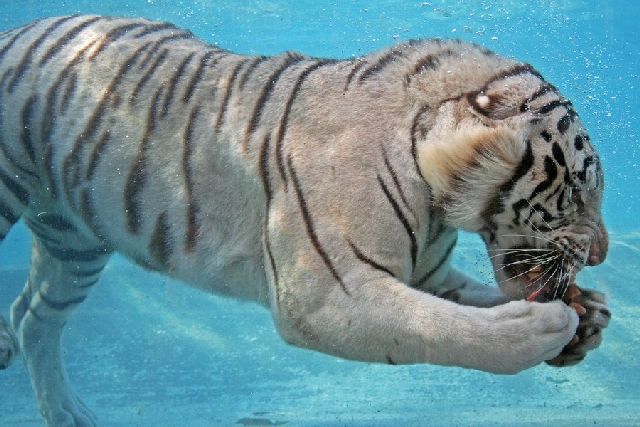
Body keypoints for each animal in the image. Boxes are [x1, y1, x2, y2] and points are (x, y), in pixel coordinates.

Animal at [0, 15, 611, 426]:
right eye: (577, 194)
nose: (601, 253)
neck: (436, 197)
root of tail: (22, 29)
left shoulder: (428, 274)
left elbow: (474, 297)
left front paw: (592, 316)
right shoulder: (326, 294)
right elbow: (436, 324)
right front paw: (540, 327)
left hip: (74, 239)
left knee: (33, 315)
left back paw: (65, 410)